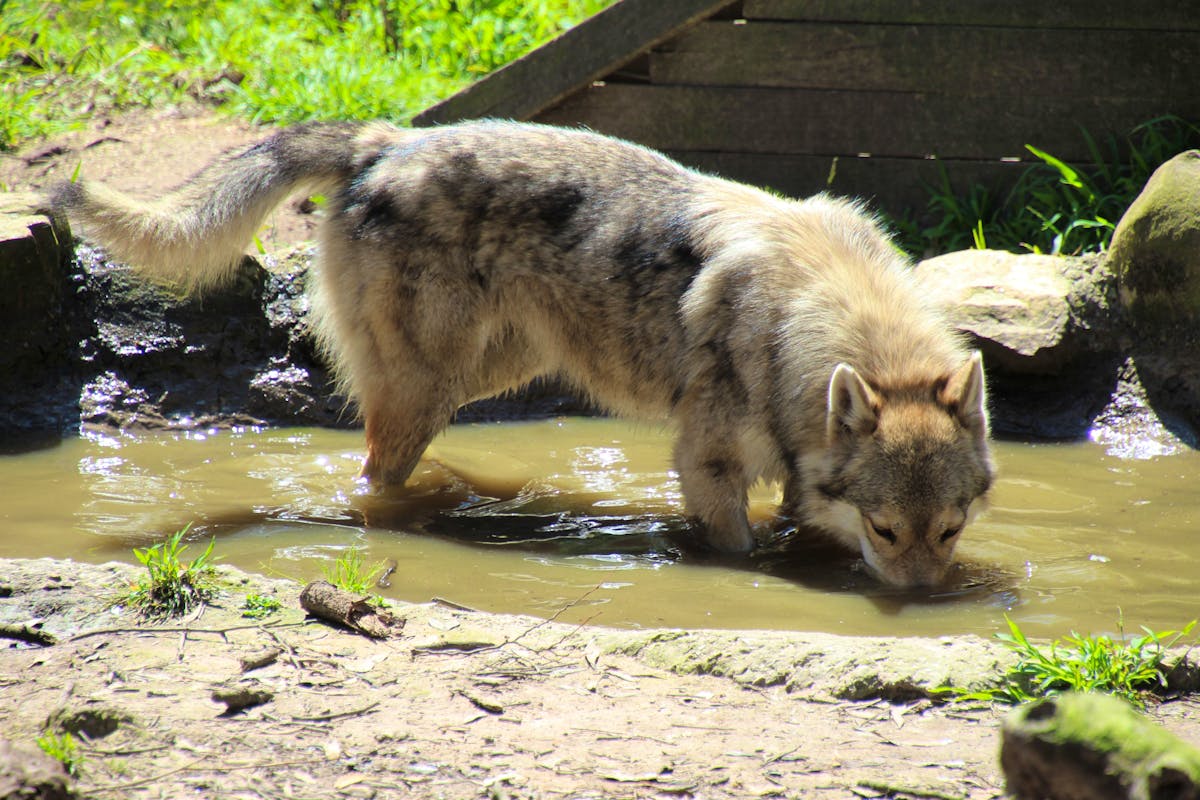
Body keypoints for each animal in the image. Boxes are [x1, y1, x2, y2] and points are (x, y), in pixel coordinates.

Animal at [52, 119, 994, 587]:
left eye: (950, 531)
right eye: (887, 530)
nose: (922, 603)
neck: (810, 309)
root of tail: (381, 142)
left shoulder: (791, 472)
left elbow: (800, 519)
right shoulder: (706, 465)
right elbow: (739, 551)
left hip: (482, 378)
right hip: (423, 392)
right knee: (367, 481)